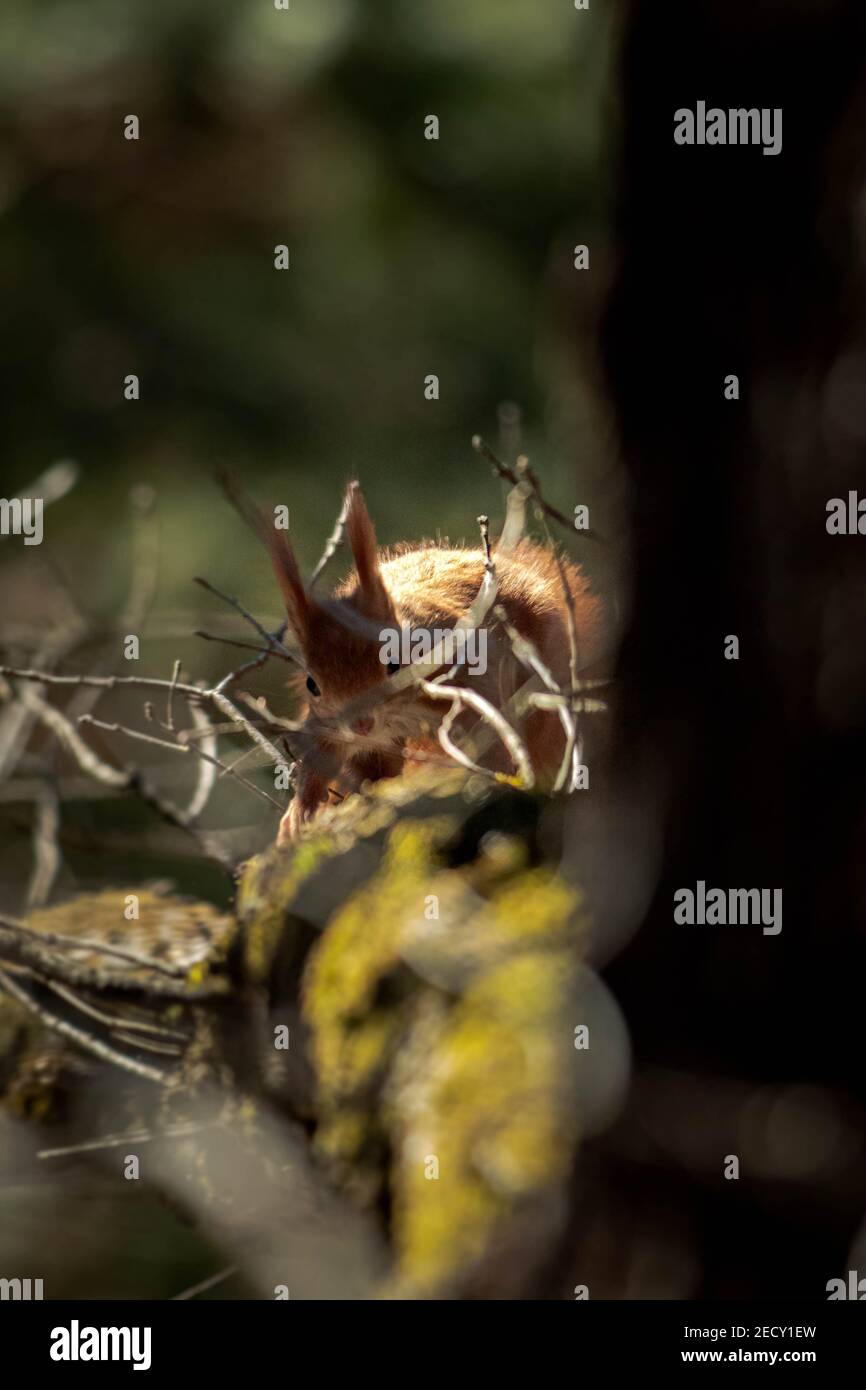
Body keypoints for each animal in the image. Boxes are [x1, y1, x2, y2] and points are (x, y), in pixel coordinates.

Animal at [245, 480, 601, 843]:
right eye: (312, 684)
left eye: (393, 664)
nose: (361, 724)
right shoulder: (329, 724)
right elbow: (321, 756)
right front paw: (299, 813)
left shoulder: (469, 682)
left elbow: (486, 737)